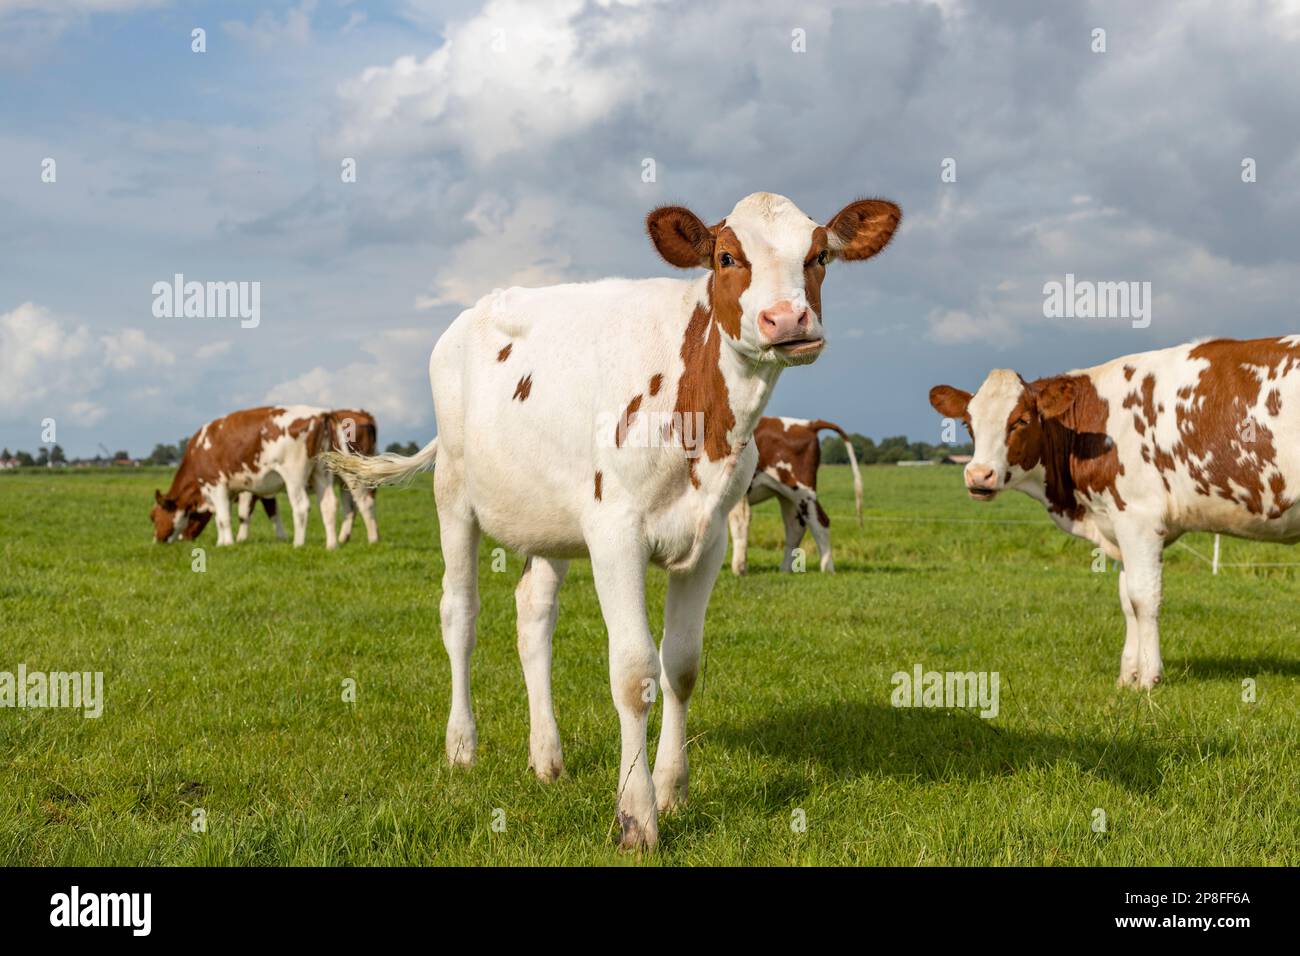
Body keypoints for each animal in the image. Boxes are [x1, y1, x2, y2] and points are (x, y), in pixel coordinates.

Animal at [151, 405, 340, 549]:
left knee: (301, 507)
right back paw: (331, 545)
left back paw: (298, 544)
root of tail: (319, 413)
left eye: (153, 517)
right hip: (322, 473)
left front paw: (227, 544)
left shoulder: (215, 484)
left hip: (294, 476)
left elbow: (224, 517)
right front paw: (221, 542)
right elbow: (221, 517)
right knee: (328, 504)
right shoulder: (228, 490)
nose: (156, 541)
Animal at [728, 416, 863, 574]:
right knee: (795, 526)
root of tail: (808, 424)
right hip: (786, 495)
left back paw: (826, 568)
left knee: (820, 522)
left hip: (802, 490)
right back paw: (785, 568)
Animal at [929, 336, 1300, 690]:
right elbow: (1126, 600)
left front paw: (1148, 678)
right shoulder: (1118, 524)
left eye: (1020, 420)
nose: (979, 475)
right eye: (968, 425)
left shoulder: (1138, 518)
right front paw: (1127, 677)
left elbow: (1143, 598)